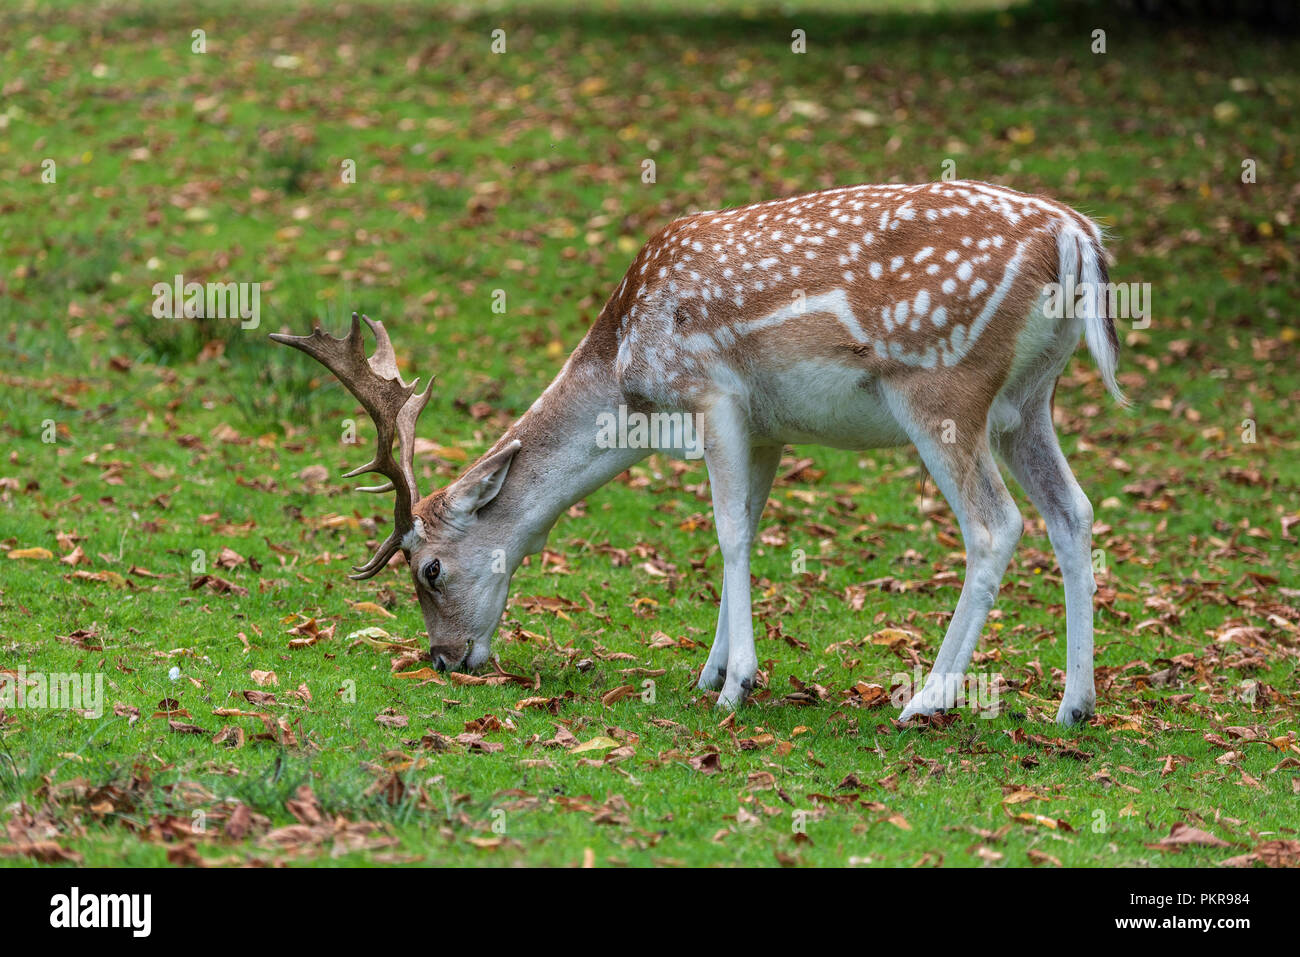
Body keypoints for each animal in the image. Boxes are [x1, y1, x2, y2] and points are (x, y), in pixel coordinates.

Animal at [271, 179, 1124, 725]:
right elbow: (747, 521)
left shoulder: (711, 392)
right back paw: (1073, 705)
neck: (629, 372)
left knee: (994, 525)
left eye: (430, 569)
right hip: (1026, 403)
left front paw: (734, 686)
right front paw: (711, 666)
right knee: (1074, 512)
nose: (445, 657)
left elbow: (730, 532)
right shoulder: (771, 425)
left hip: (944, 386)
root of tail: (1076, 237)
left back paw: (925, 699)